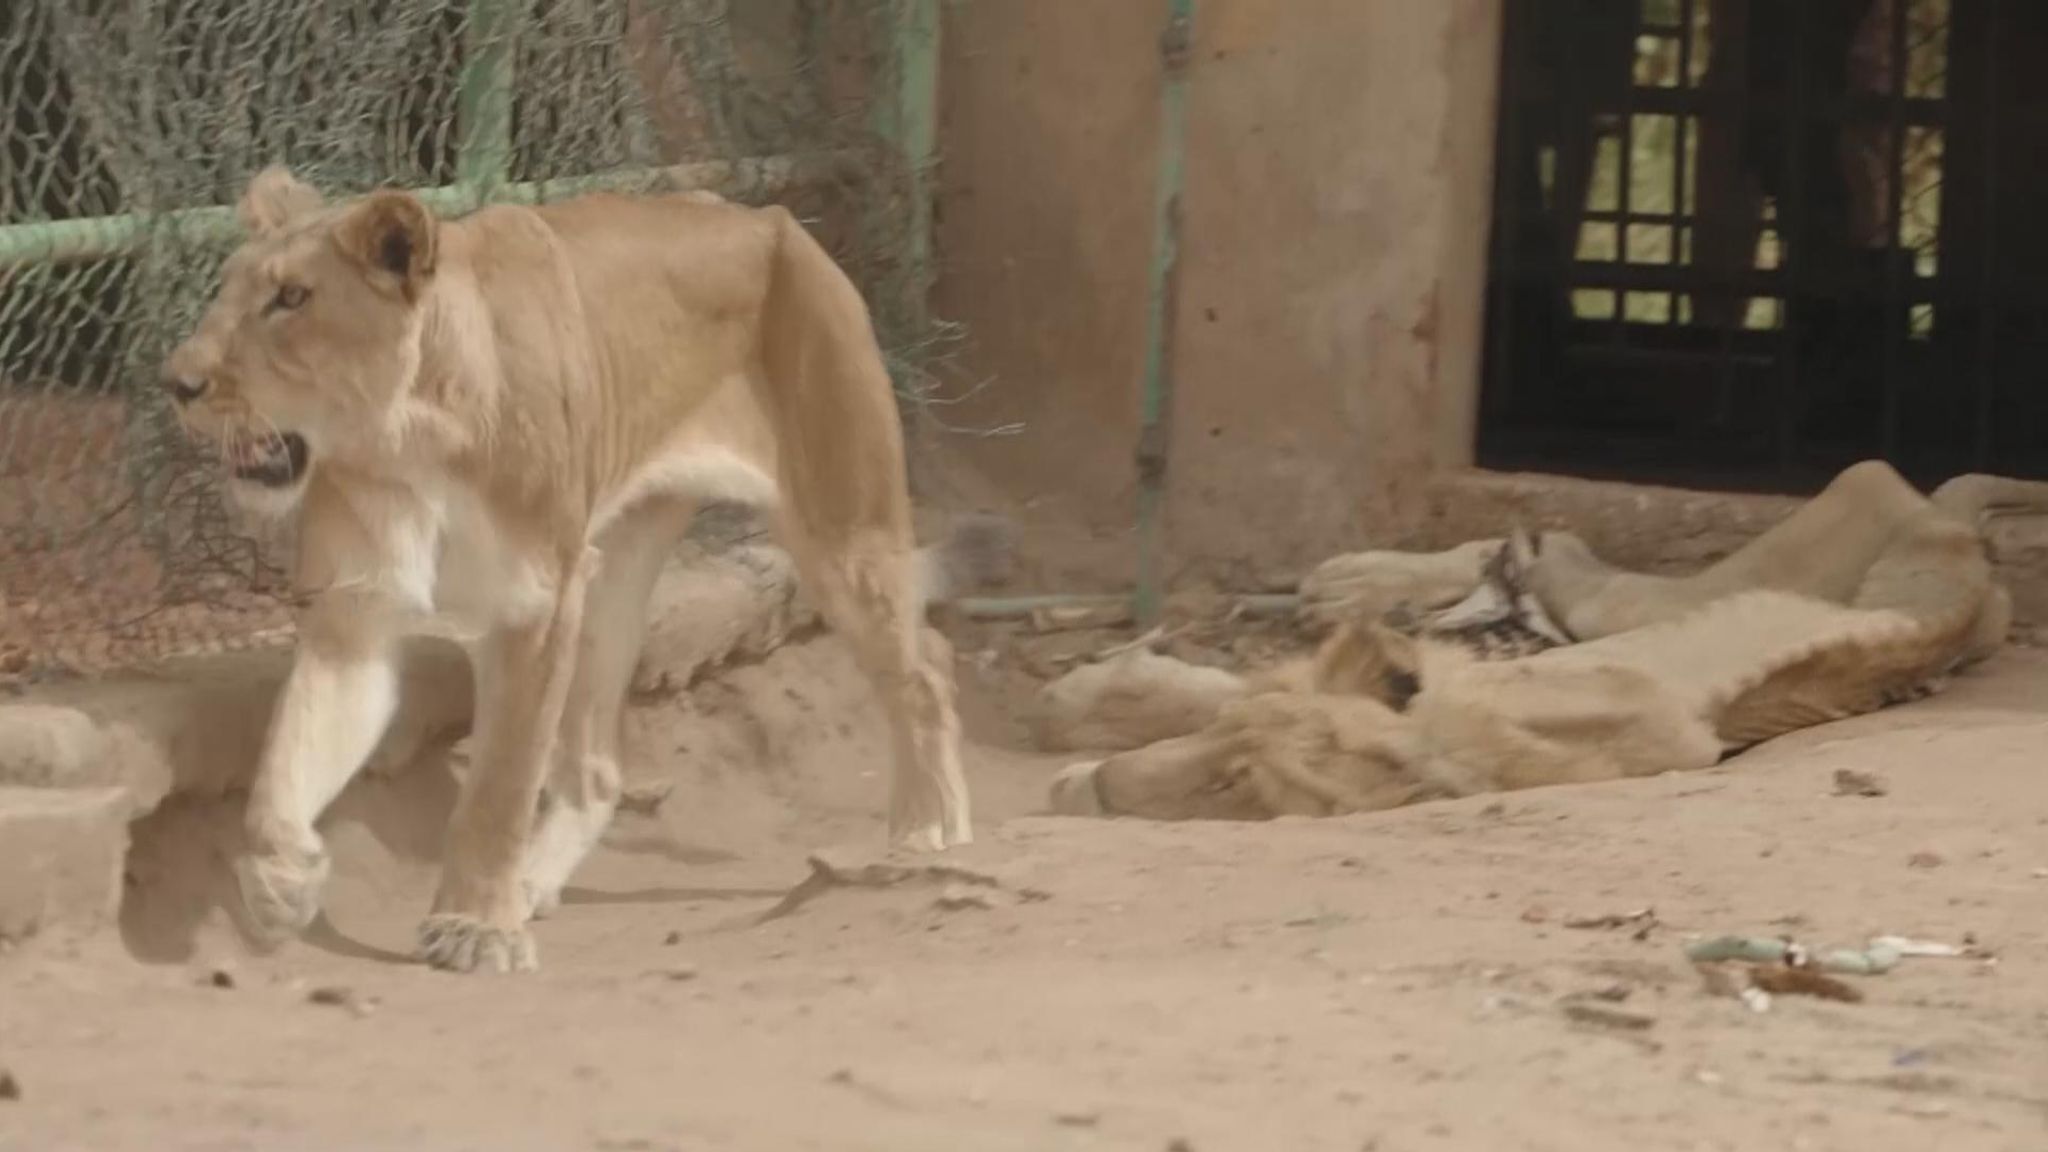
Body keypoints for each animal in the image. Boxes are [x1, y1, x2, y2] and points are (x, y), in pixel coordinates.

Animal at [159, 168, 983, 973]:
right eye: (228, 288)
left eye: (292, 298)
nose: (178, 382)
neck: (407, 442)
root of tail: (771, 217)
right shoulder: (356, 612)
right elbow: (284, 763)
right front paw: (282, 881)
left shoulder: (536, 604)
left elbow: (500, 785)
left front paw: (474, 927)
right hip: (615, 565)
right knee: (597, 766)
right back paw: (530, 883)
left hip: (842, 528)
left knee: (927, 667)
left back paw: (926, 835)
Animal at [1044, 460, 2046, 821]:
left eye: (1234, 789)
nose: (1088, 795)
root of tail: (1956, 544)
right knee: (1542, 549)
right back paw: (1346, 583)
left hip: (1838, 502)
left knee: (1547, 556)